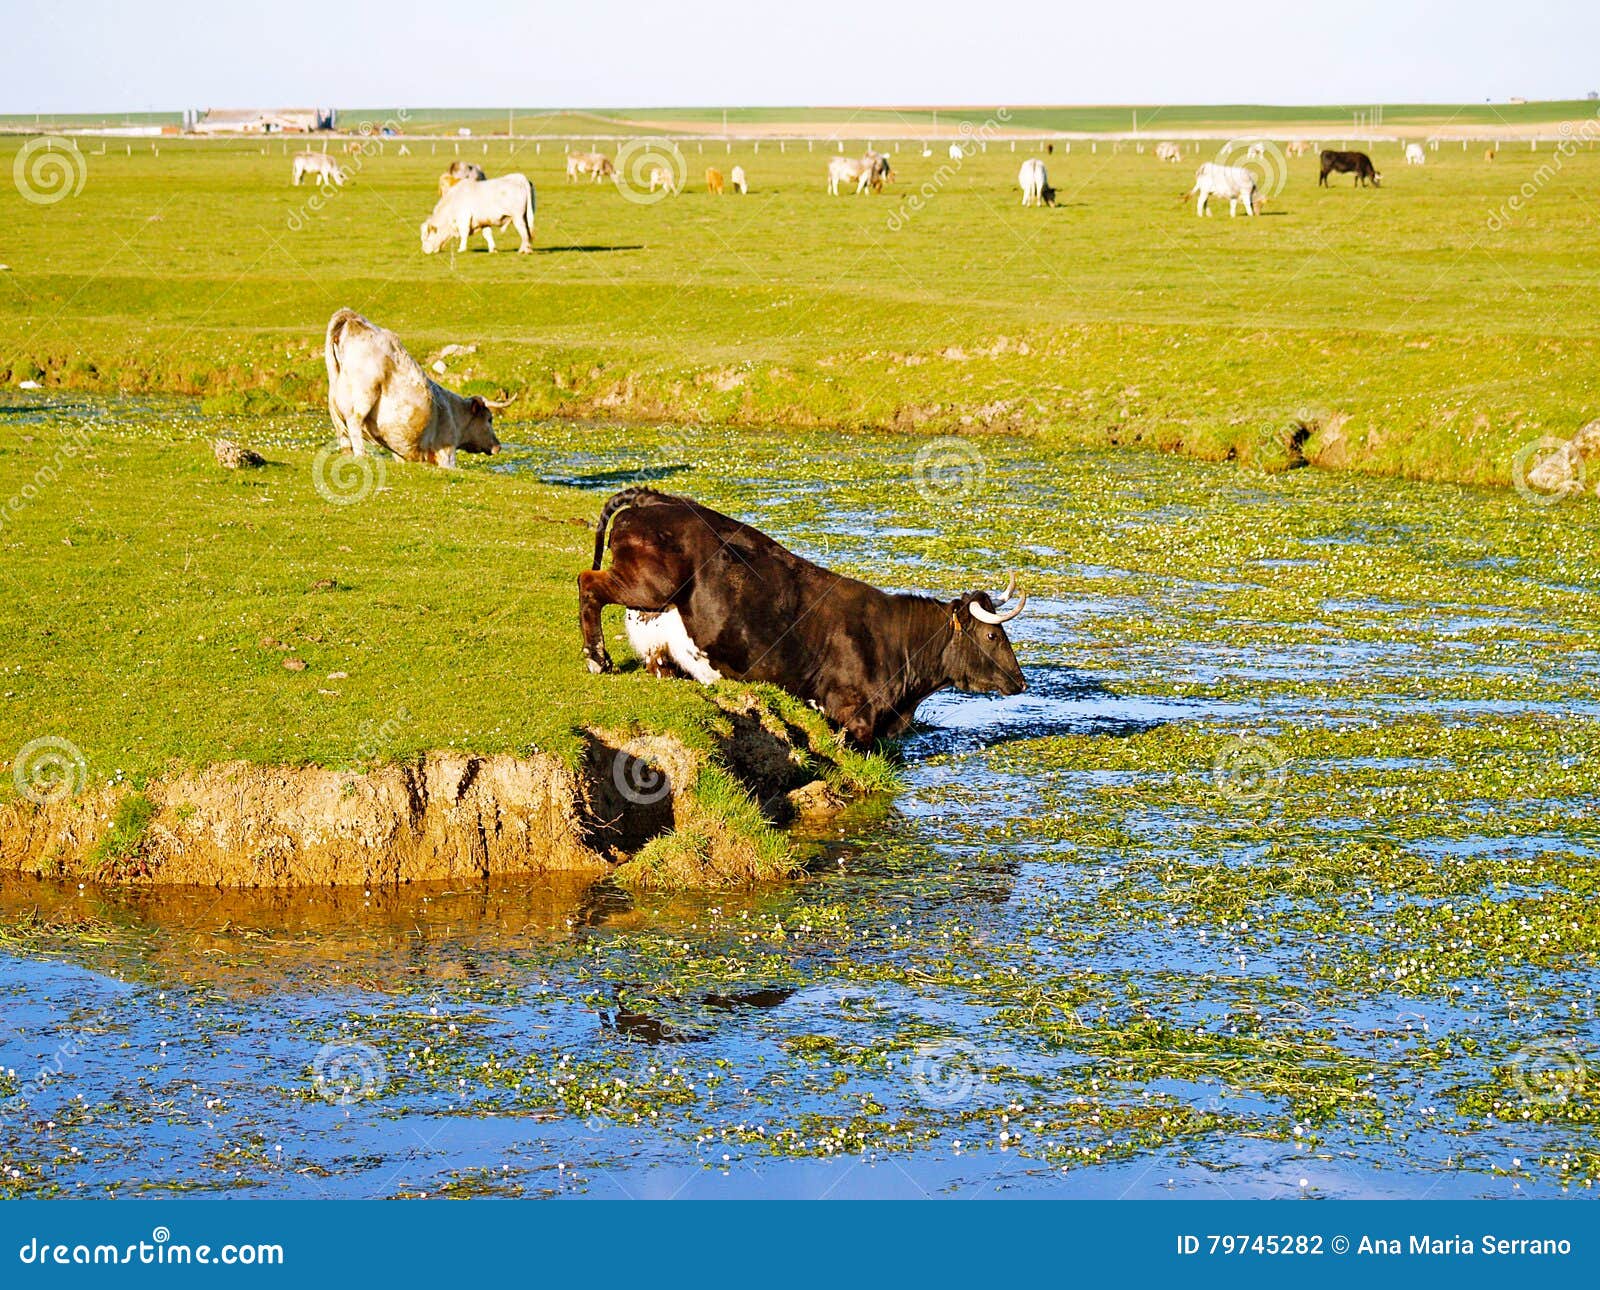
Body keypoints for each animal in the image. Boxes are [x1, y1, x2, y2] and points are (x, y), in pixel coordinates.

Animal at [323, 308, 504, 468]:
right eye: (489, 418)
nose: (498, 446)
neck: (453, 411)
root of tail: (352, 317)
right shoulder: (446, 452)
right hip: (364, 397)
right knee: (354, 423)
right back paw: (362, 455)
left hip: (335, 405)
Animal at [579, 487, 1028, 747]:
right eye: (993, 636)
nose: (1021, 682)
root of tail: (654, 501)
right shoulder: (853, 719)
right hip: (648, 585)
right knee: (588, 582)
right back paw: (598, 659)